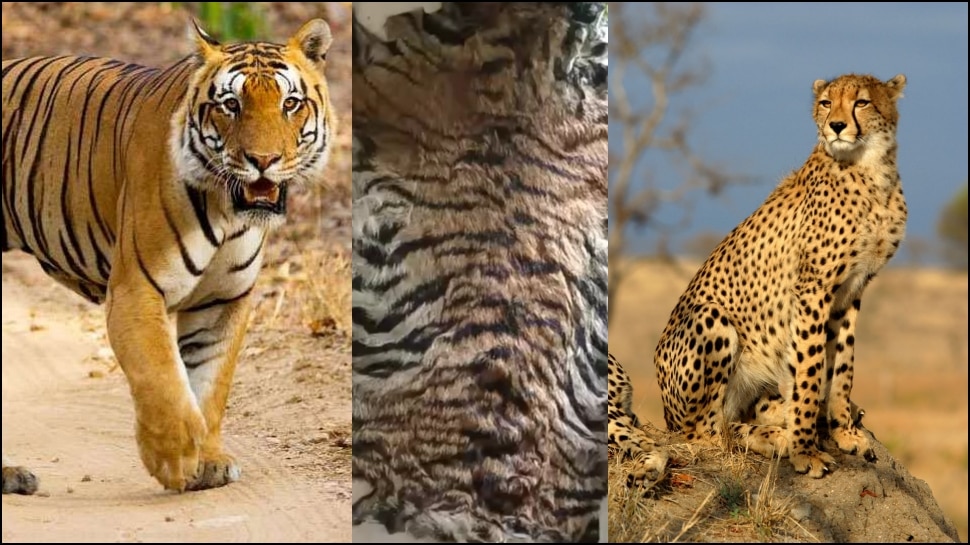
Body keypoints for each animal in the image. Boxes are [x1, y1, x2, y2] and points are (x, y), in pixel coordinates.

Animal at [1, 19, 335, 494]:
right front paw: (175, 456)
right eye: (231, 105)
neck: (228, 210)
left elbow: (210, 383)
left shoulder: (222, 300)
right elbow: (160, 373)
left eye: (290, 104)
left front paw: (208, 462)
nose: (264, 160)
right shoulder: (135, 290)